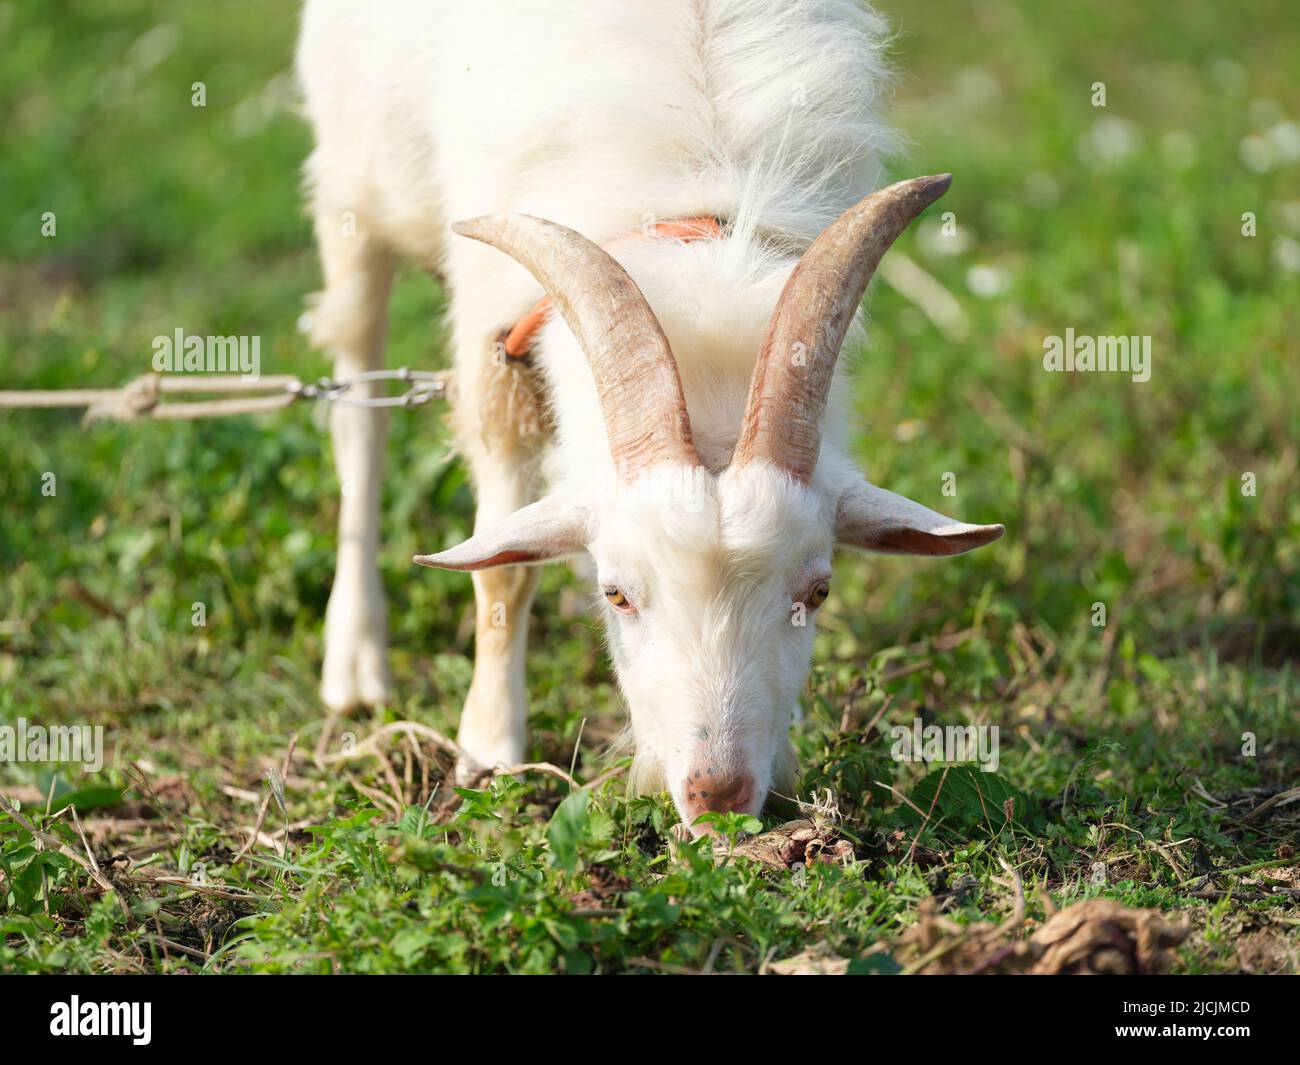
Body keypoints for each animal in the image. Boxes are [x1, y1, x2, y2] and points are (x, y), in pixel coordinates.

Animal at [296, 0, 1003, 835]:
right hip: (352, 191)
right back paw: (355, 656)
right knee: (358, 415)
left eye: (818, 592)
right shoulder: (491, 341)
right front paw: (490, 747)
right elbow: (503, 574)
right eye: (617, 594)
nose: (718, 798)